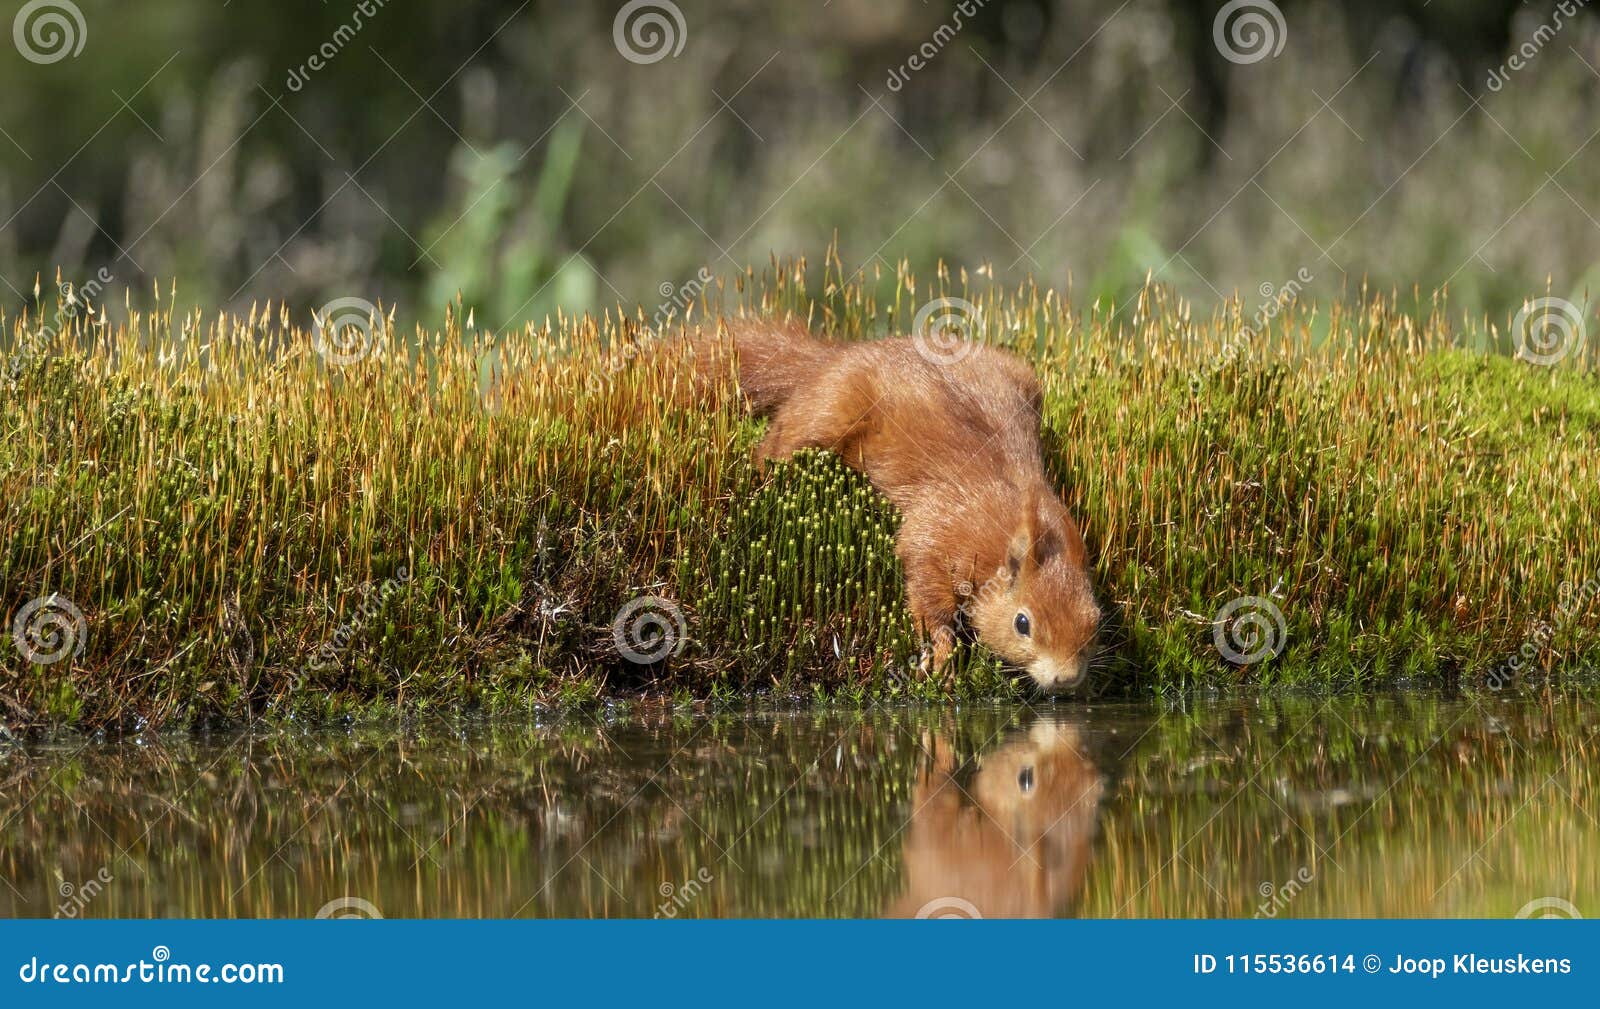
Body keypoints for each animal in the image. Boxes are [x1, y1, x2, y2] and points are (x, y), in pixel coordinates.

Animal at [713, 317, 1101, 690]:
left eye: (1095, 621)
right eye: (1023, 623)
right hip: (825, 412)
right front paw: (942, 660)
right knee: (781, 443)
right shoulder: (936, 534)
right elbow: (929, 601)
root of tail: (833, 358)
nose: (1067, 678)